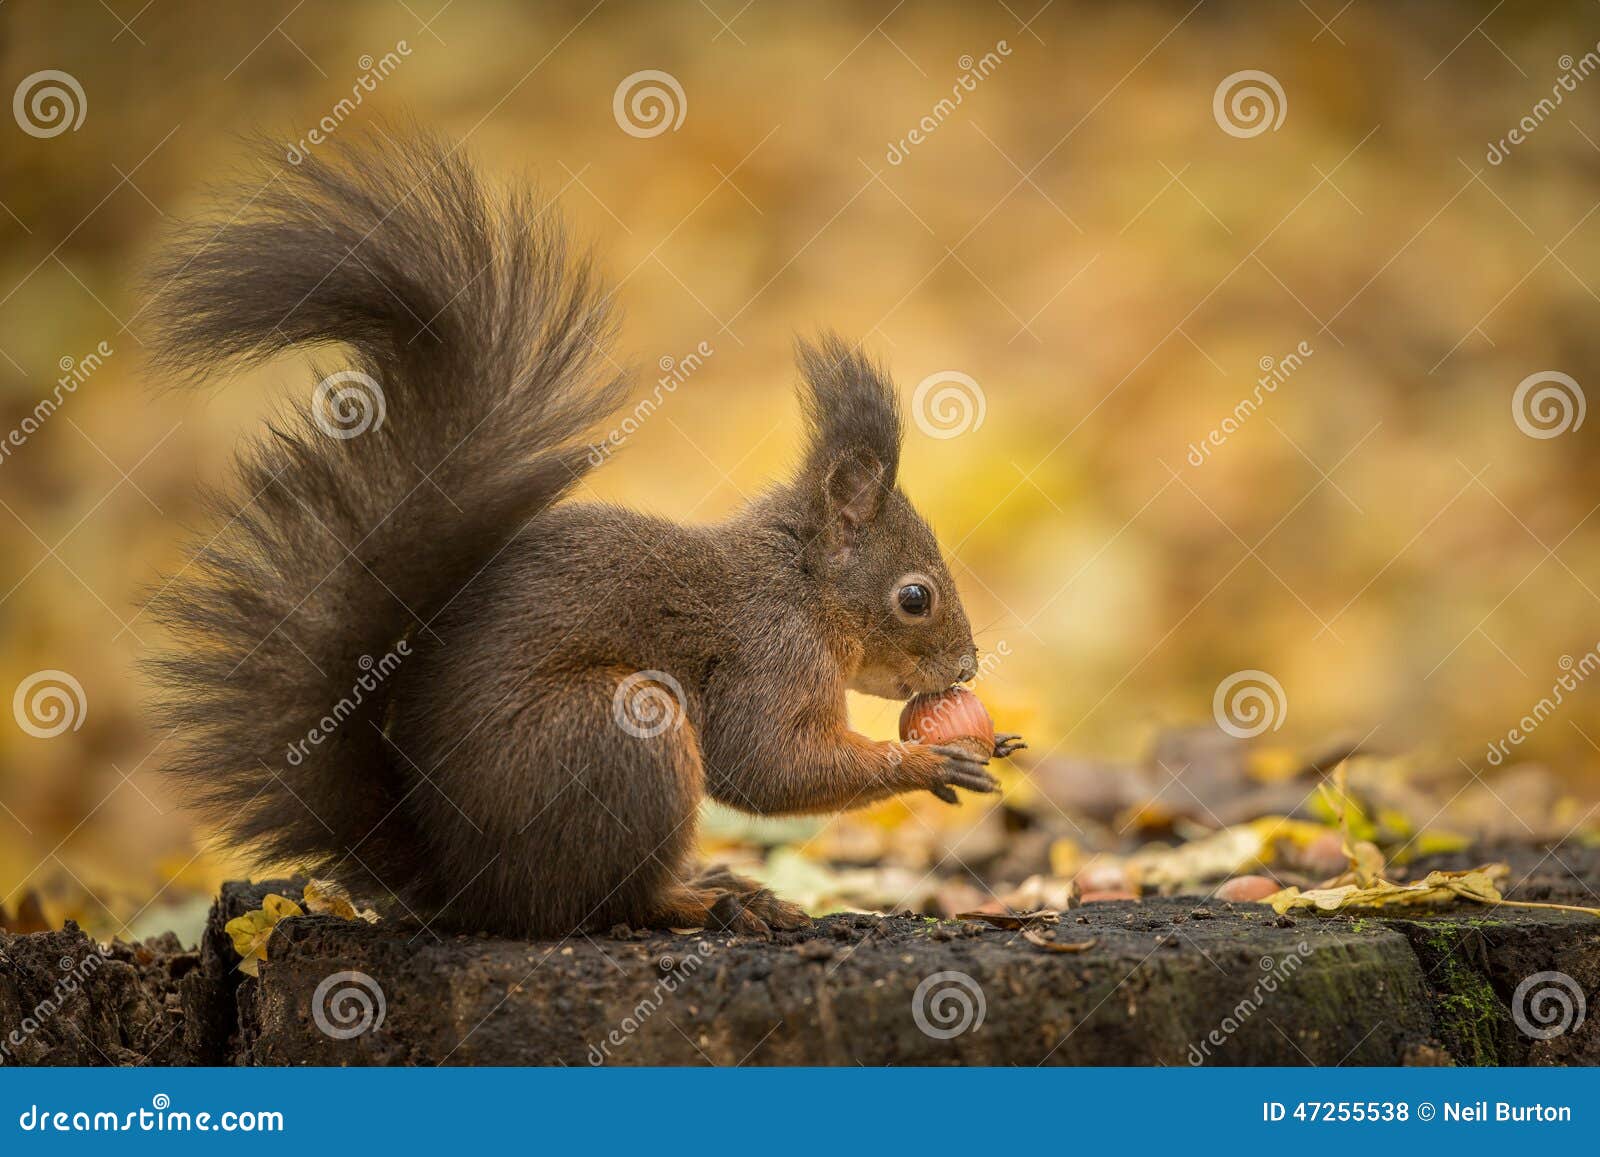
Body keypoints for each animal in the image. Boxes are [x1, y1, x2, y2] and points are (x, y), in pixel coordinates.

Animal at [145, 133, 1024, 938]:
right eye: (915, 597)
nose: (967, 665)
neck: (800, 582)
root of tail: (464, 882)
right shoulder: (769, 651)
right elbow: (769, 765)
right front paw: (929, 762)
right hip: (619, 735)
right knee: (600, 904)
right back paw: (707, 899)